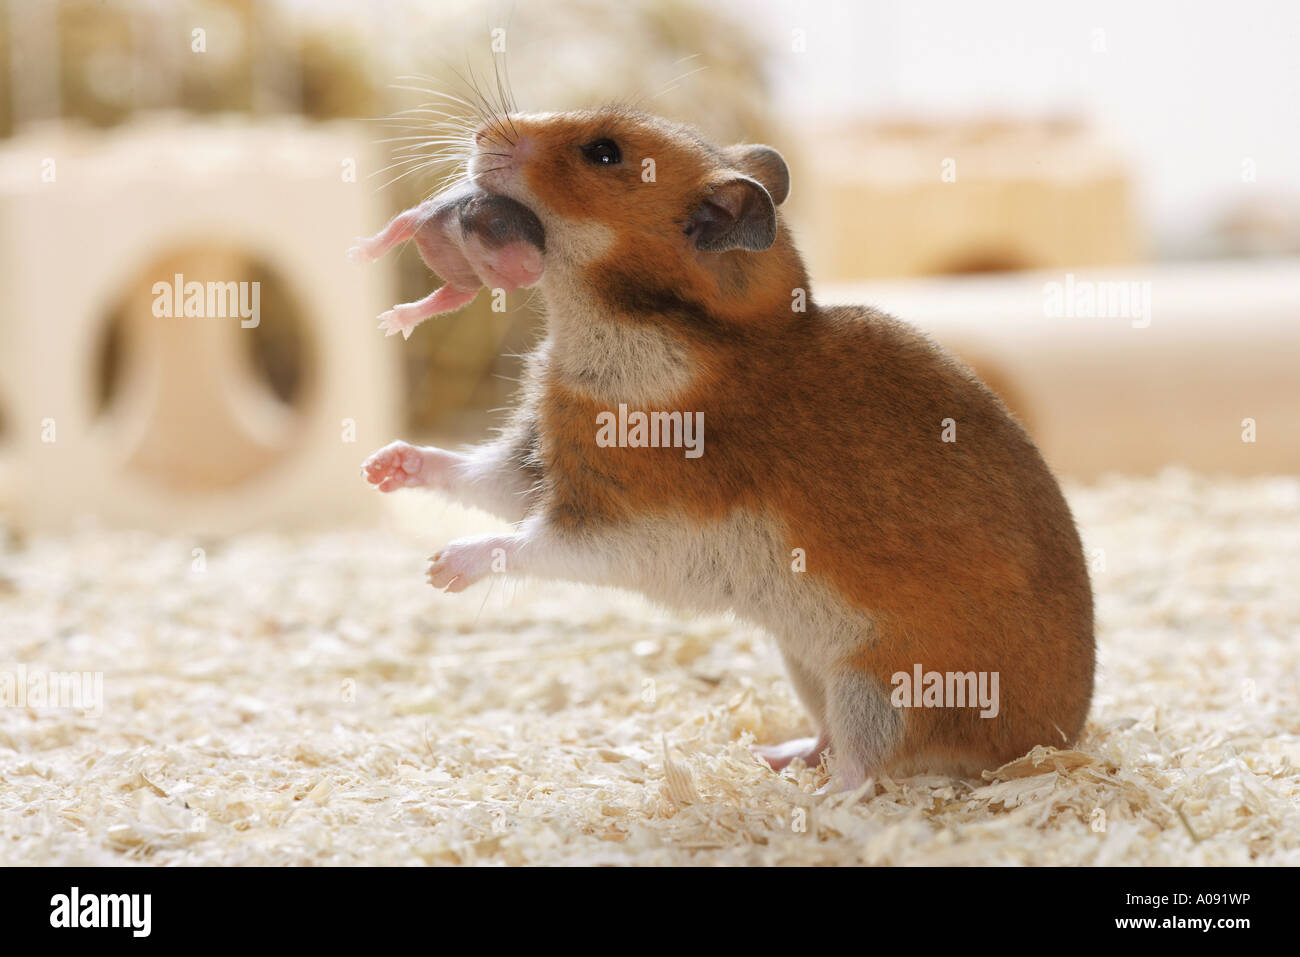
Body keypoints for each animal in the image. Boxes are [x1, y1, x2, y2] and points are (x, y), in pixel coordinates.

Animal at [349, 182, 545, 338]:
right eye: (499, 226)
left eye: (544, 245)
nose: (534, 268)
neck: (459, 251)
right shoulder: (427, 217)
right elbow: (399, 224)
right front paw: (364, 252)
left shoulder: (466, 284)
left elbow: (450, 299)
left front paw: (402, 317)